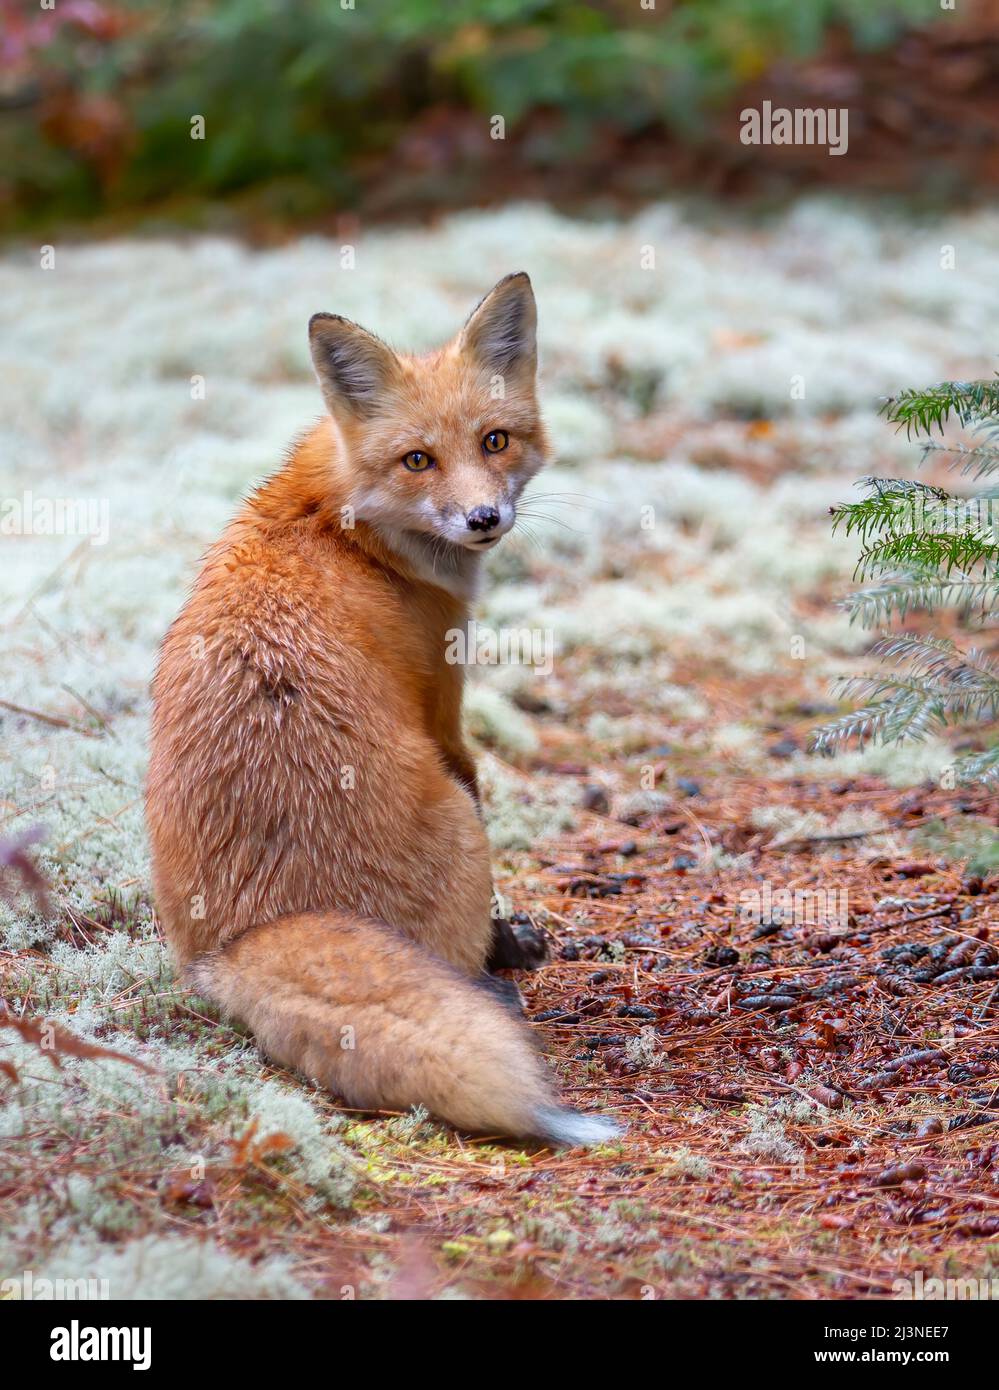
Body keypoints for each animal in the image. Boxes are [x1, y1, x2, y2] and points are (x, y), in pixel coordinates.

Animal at [147, 272, 622, 1146]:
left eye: (494, 442)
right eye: (418, 460)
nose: (482, 519)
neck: (347, 526)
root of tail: (247, 934)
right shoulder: (445, 713)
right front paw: (507, 946)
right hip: (459, 825)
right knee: (456, 954)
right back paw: (500, 978)